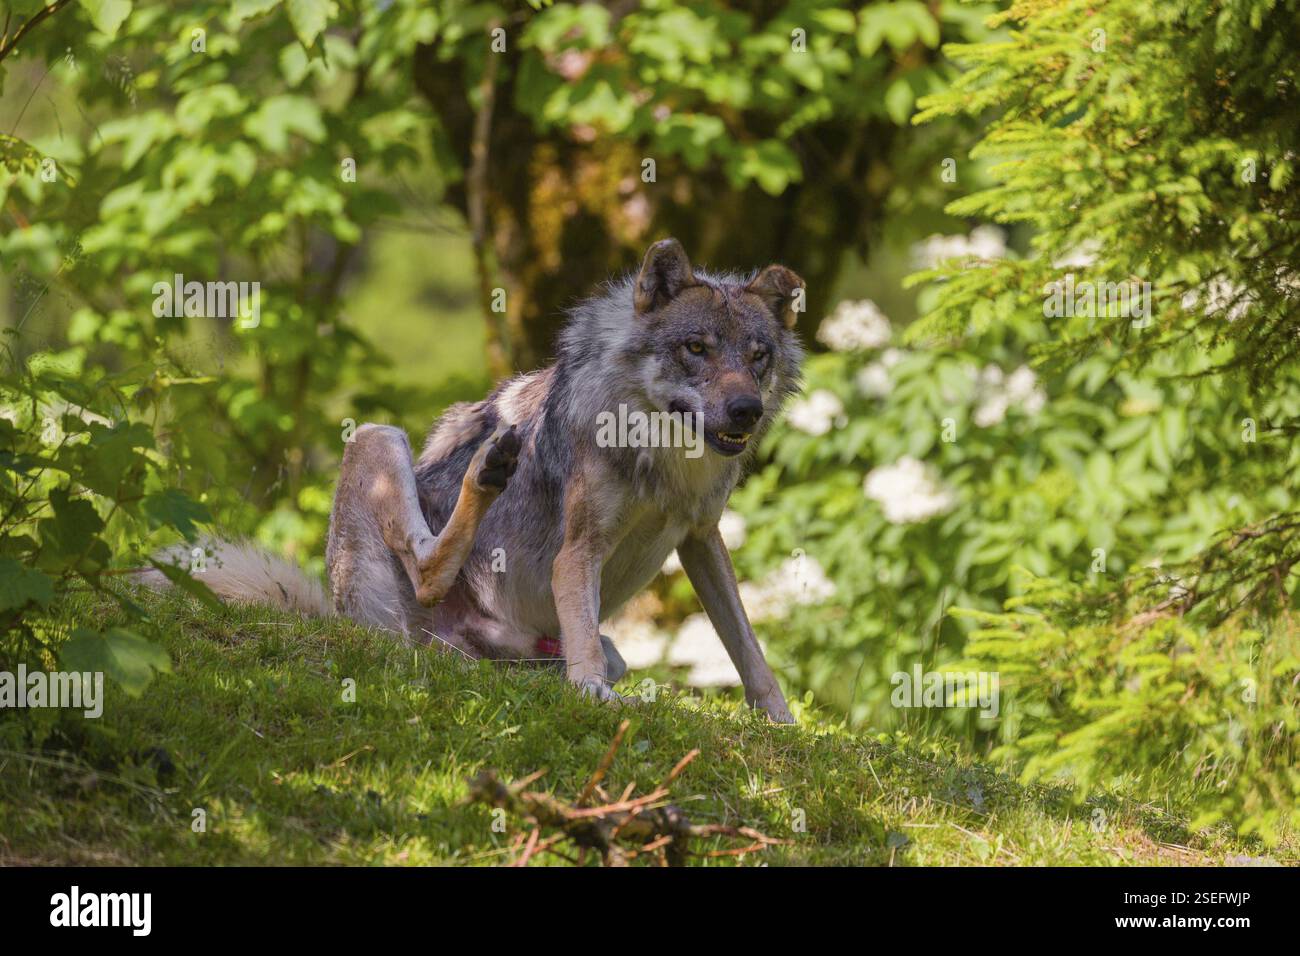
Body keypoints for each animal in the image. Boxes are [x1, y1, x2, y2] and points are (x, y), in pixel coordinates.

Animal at [162, 239, 804, 722]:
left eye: (758, 357)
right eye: (696, 348)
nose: (746, 410)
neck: (668, 460)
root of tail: (346, 619)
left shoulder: (701, 537)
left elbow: (748, 646)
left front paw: (779, 720)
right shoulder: (579, 551)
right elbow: (591, 649)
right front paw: (592, 693)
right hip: (377, 437)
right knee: (427, 573)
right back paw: (488, 471)